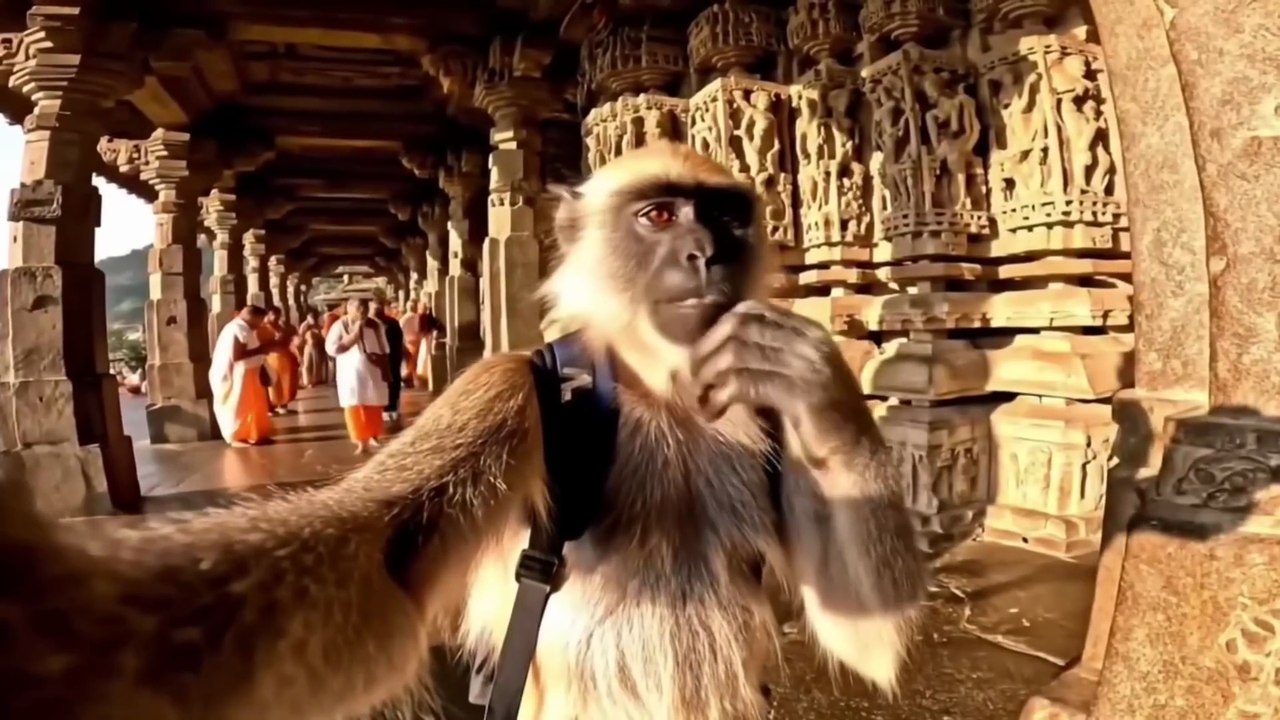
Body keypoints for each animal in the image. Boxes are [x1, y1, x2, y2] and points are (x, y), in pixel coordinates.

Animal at [0, 141, 926, 720]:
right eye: (661, 216)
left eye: (725, 217)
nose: (707, 252)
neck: (656, 385)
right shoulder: (505, 389)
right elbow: (386, 557)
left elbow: (863, 631)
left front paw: (816, 374)